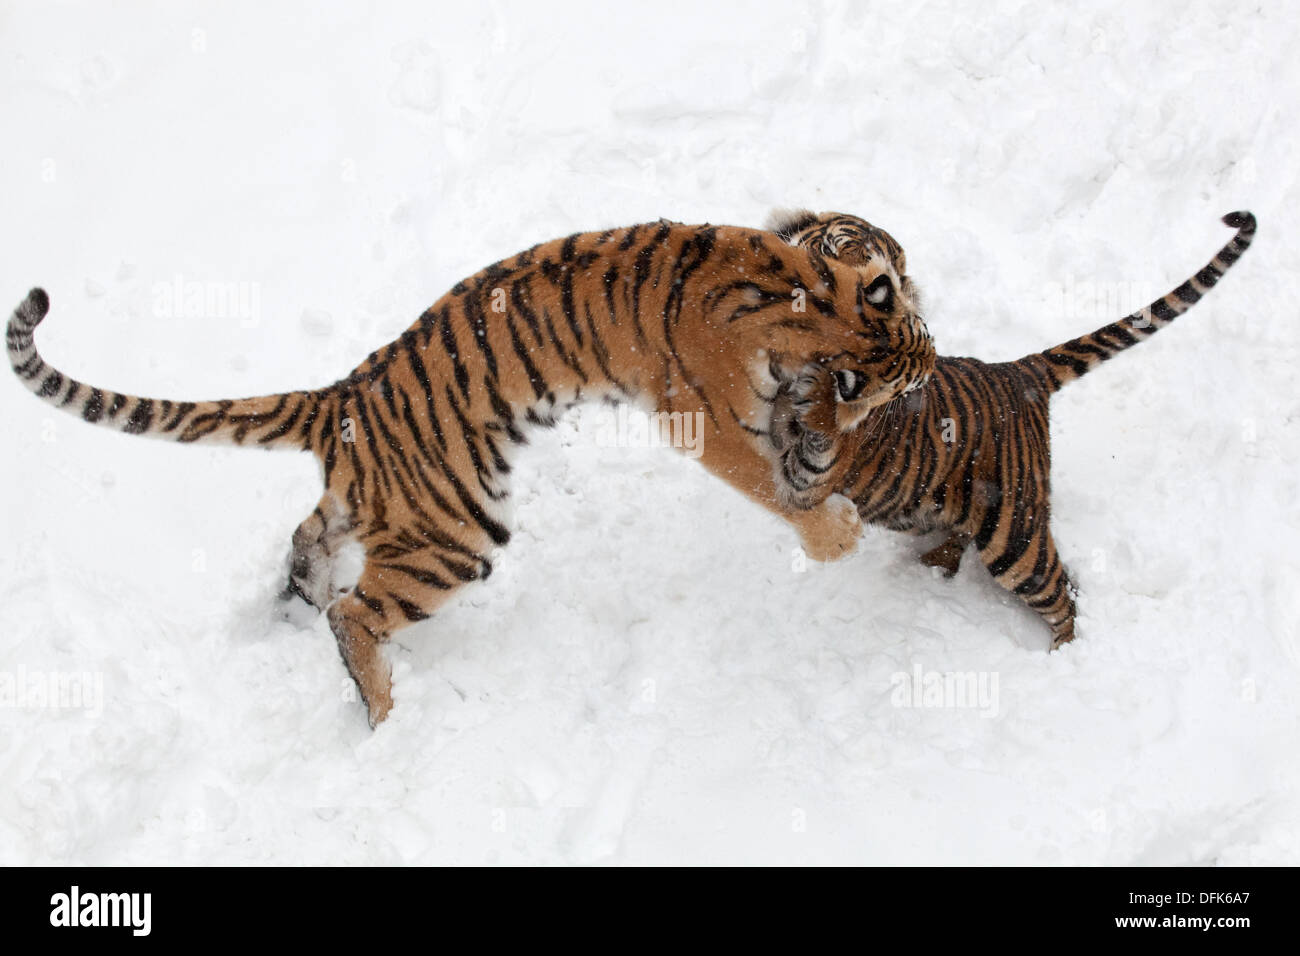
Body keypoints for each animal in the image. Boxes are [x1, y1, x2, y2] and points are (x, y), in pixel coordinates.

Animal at [8, 219, 936, 726]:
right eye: (914, 359)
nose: (929, 363)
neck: (802, 295)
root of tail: (339, 395)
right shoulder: (702, 417)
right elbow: (769, 484)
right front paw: (833, 536)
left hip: (379, 505)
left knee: (310, 540)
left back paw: (294, 600)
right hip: (455, 533)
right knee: (355, 614)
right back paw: (384, 714)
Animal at [765, 208, 1256, 647]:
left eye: (876, 286)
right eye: (828, 253)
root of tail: (1018, 371)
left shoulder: (808, 477)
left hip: (1015, 537)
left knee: (1061, 595)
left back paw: (1063, 654)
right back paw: (939, 560)